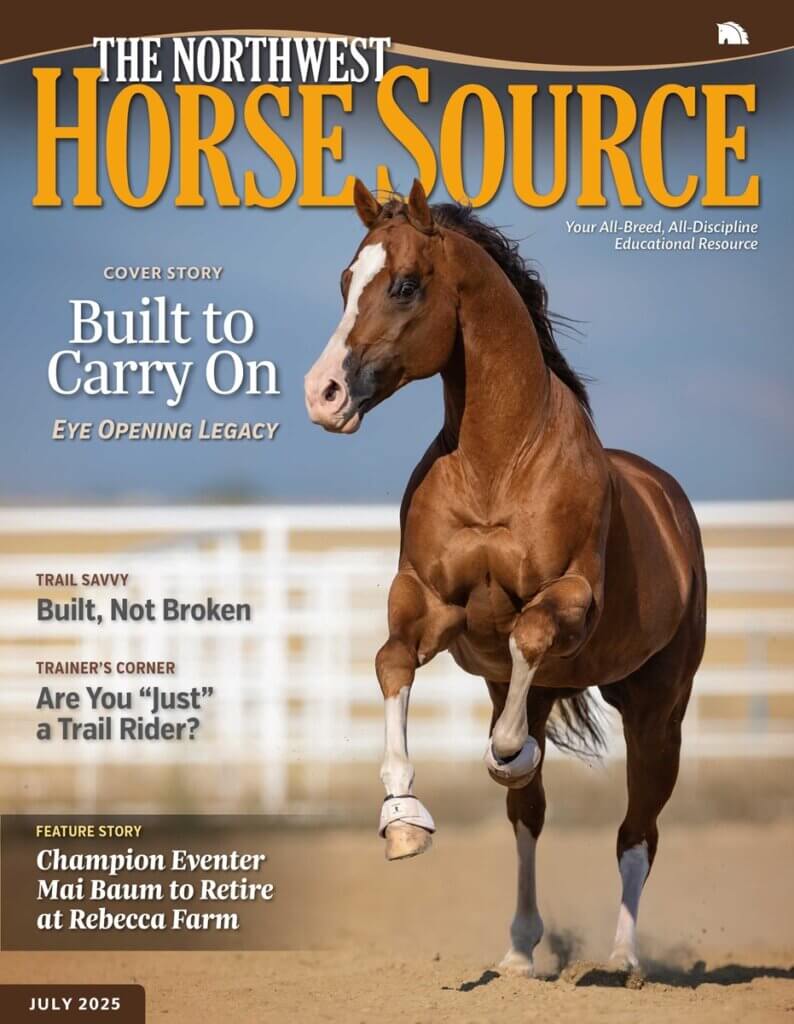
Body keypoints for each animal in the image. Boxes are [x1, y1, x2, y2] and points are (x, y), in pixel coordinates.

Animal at [304, 179, 707, 976]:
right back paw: (520, 950)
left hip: (658, 712)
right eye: (345, 281)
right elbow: (392, 664)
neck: (499, 464)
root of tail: (673, 504)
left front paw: (504, 754)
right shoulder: (428, 605)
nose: (322, 393)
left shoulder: (573, 599)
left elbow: (528, 634)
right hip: (544, 692)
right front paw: (403, 821)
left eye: (404, 284)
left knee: (637, 831)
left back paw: (623, 959)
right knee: (529, 818)